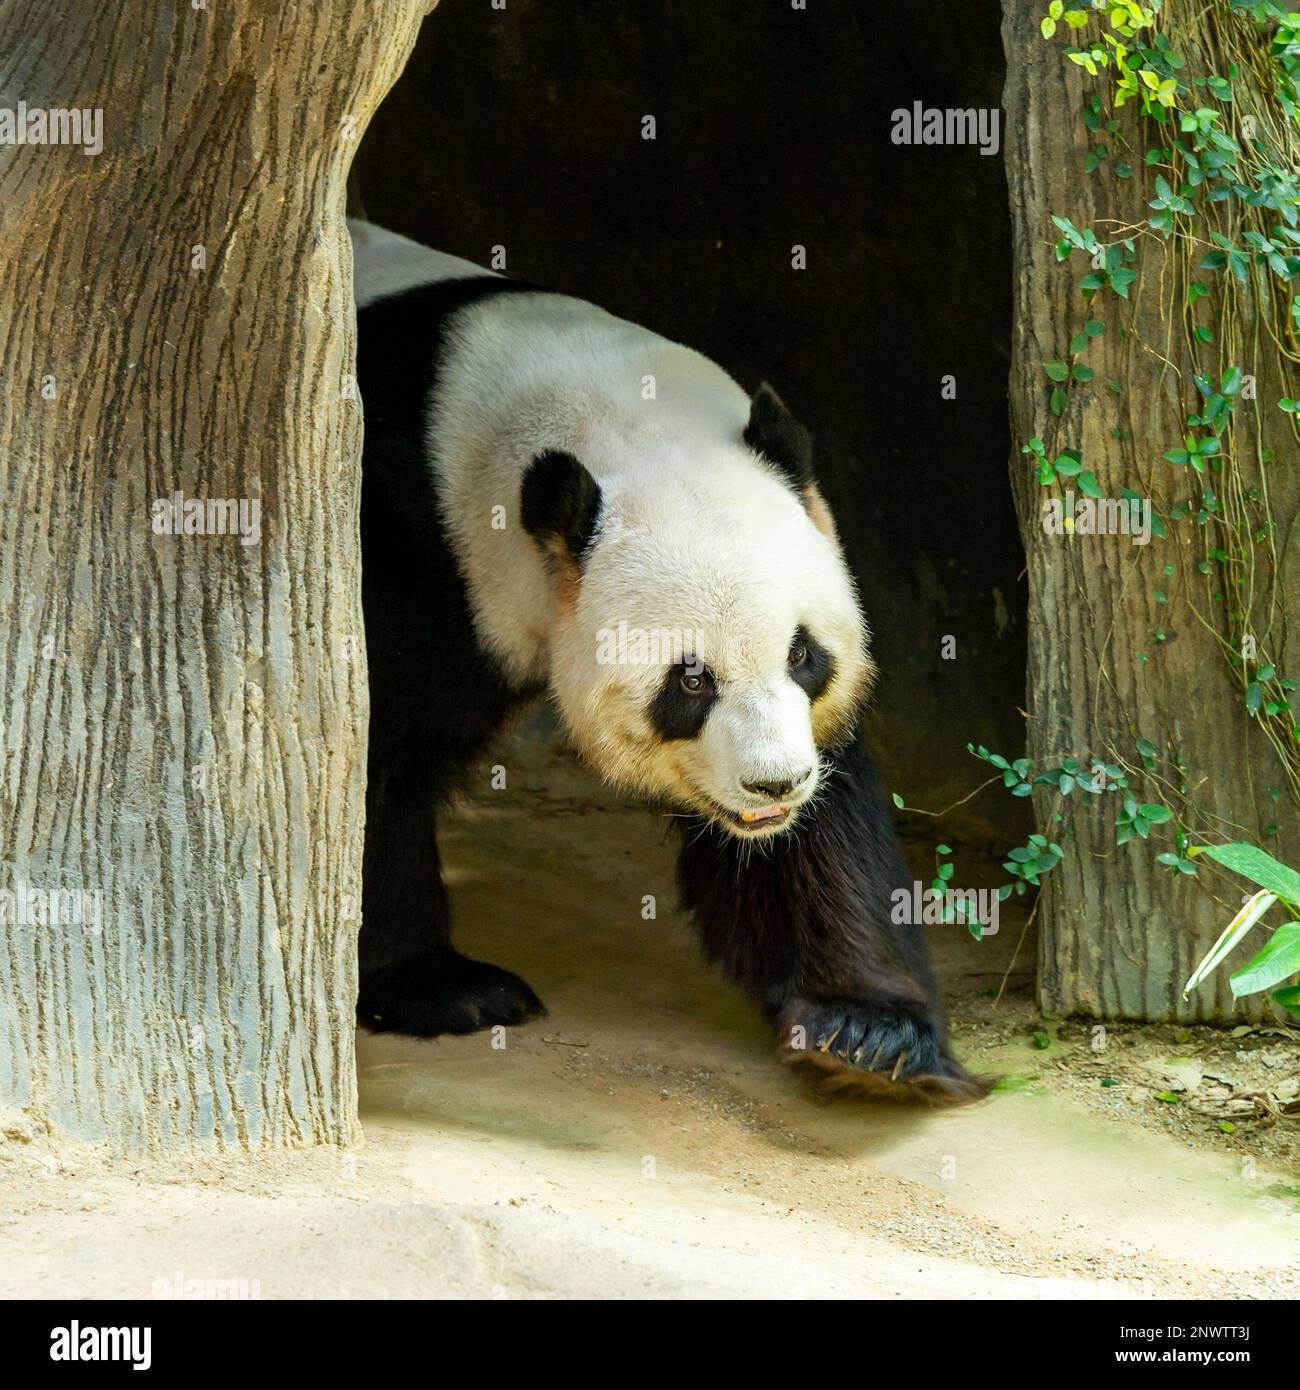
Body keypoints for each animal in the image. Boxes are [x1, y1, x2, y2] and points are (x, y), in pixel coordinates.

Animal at [350, 219, 986, 1105]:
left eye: (803, 655)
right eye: (691, 680)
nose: (774, 785)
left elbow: (821, 826)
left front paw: (869, 1033)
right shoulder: (406, 546)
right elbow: (369, 752)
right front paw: (441, 990)